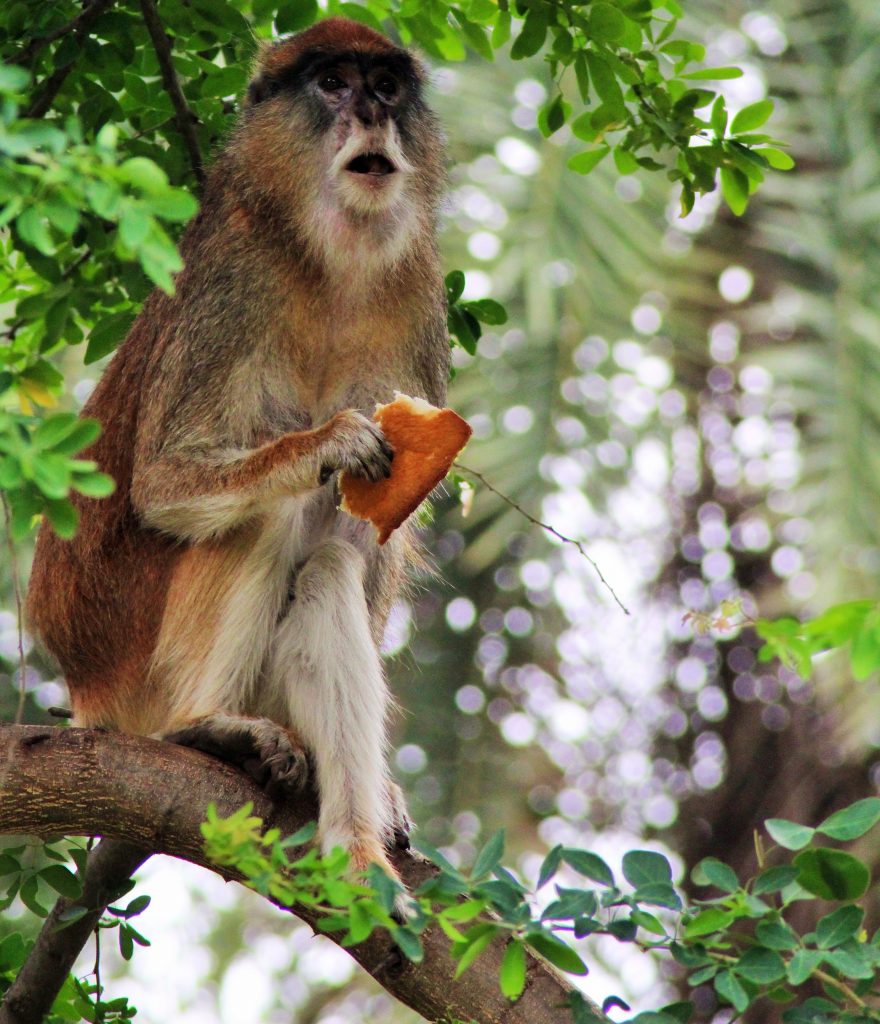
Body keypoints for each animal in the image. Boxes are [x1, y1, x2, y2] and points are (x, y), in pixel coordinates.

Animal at [26, 17, 448, 906]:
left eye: (386, 86)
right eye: (332, 84)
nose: (371, 114)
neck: (328, 261)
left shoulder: (415, 296)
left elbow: (377, 526)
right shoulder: (228, 280)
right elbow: (165, 485)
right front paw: (331, 442)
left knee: (330, 563)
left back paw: (355, 845)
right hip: (132, 661)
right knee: (270, 514)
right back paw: (206, 726)